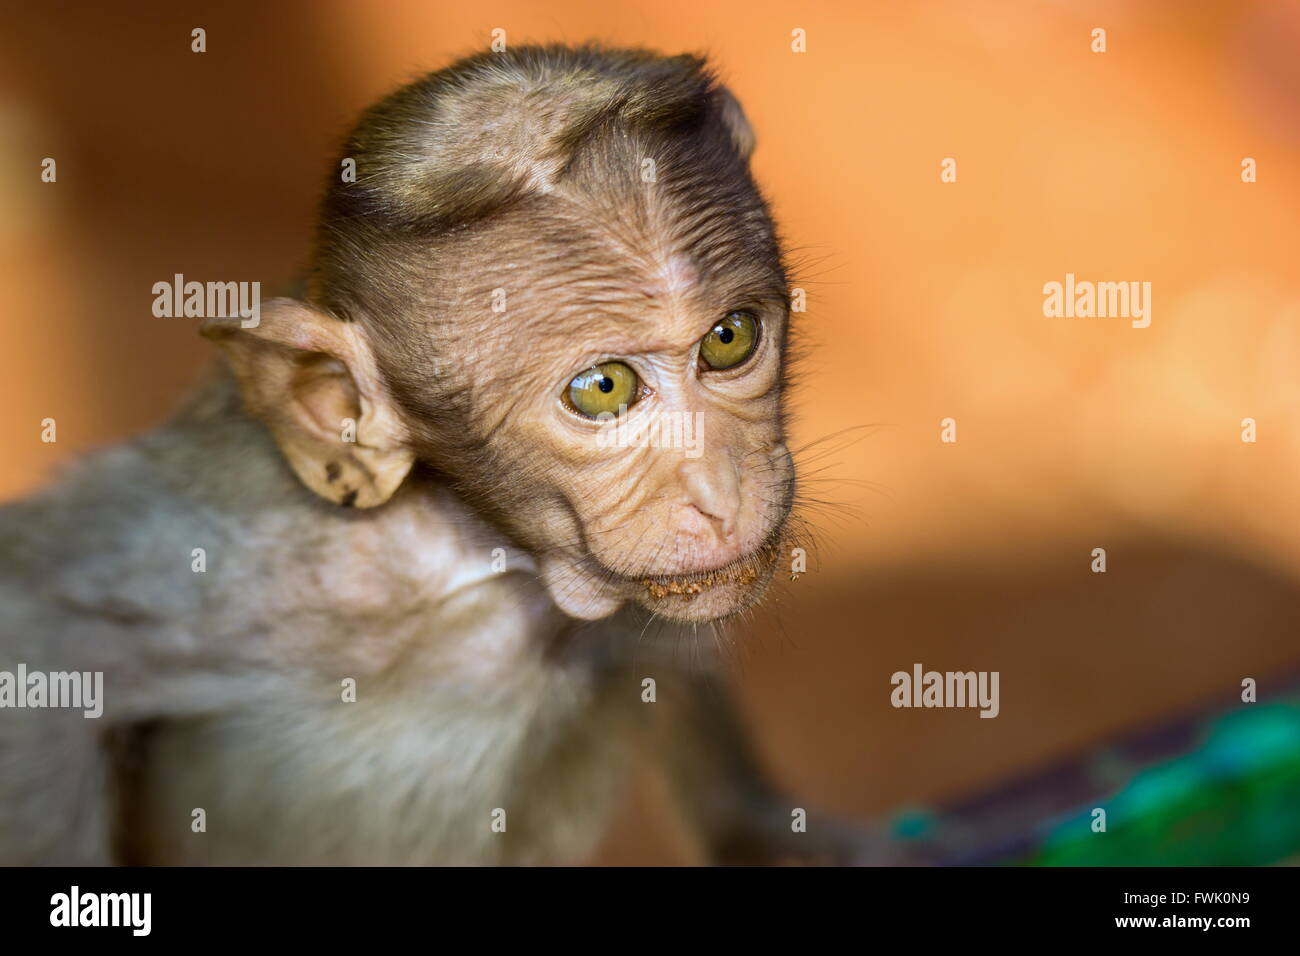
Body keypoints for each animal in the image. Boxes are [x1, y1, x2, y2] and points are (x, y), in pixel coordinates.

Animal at [0, 44, 874, 865]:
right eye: (603, 389)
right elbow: (43, 628)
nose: (722, 492)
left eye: (729, 338)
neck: (496, 561)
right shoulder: (274, 553)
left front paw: (766, 830)